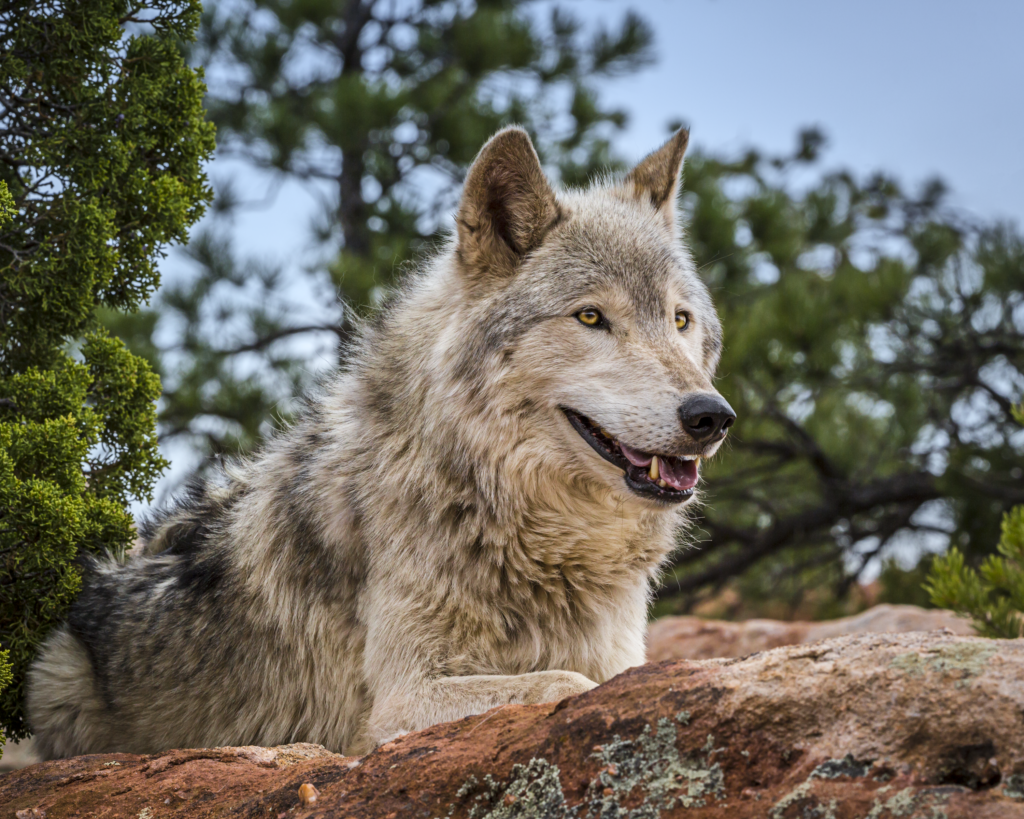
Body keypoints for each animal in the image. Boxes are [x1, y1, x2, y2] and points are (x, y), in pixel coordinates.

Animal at [27, 126, 735, 759]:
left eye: (680, 319)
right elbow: (567, 681)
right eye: (591, 316)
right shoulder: (402, 699)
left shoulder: (620, 653)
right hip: (50, 672)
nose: (712, 416)